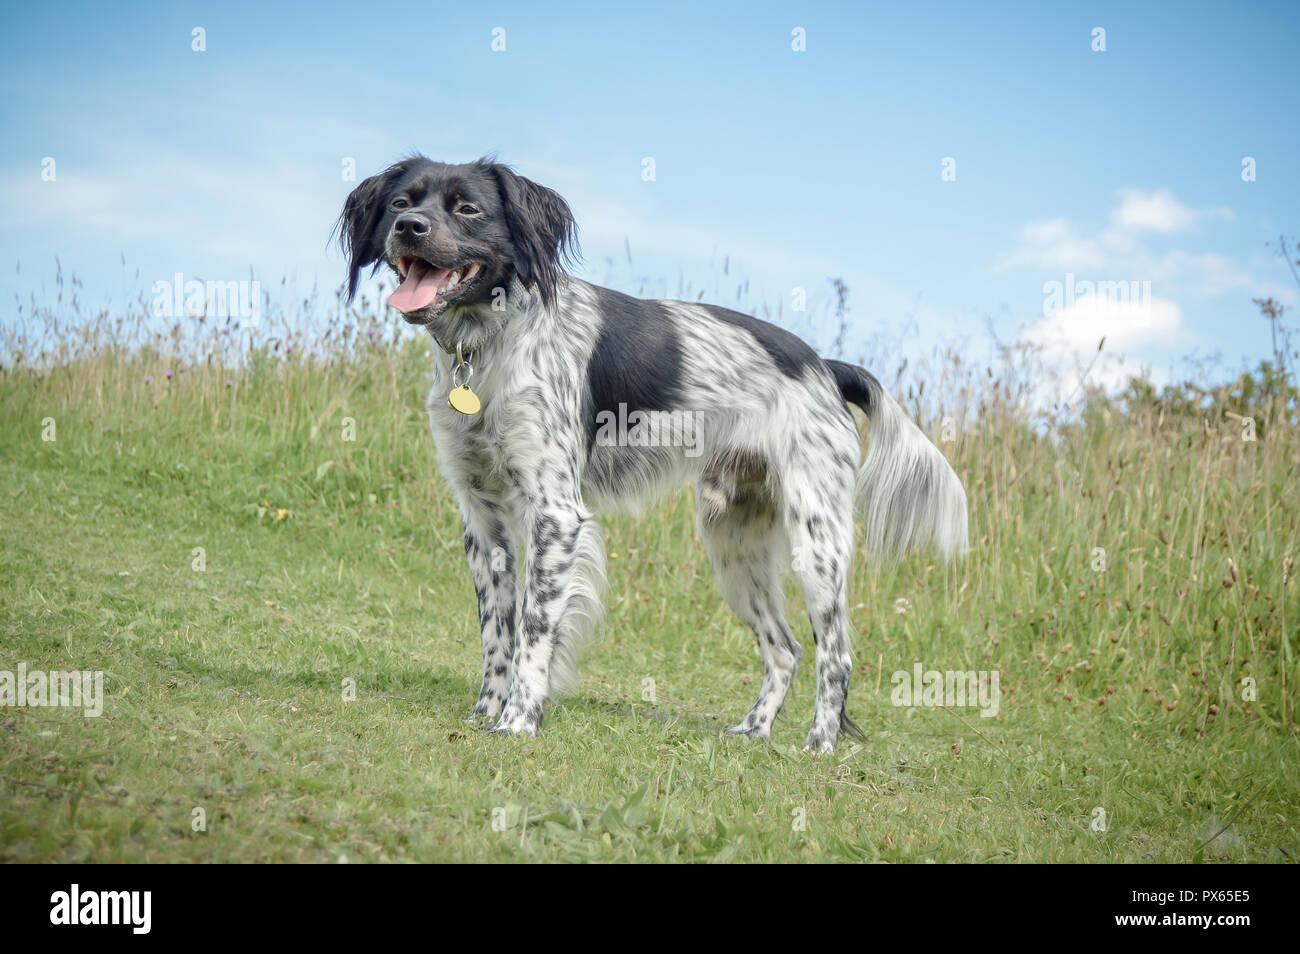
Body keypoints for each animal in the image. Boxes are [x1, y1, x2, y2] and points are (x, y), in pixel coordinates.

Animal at [335, 157, 967, 753]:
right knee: (785, 648)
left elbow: (534, 631)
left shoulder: (555, 514)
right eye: (400, 203)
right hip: (733, 546)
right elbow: (498, 632)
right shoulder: (482, 520)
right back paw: (754, 731)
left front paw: (518, 721)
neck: (492, 343)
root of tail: (826, 366)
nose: (409, 228)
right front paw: (485, 713)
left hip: (817, 544)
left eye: (468, 208)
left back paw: (820, 745)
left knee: (834, 655)